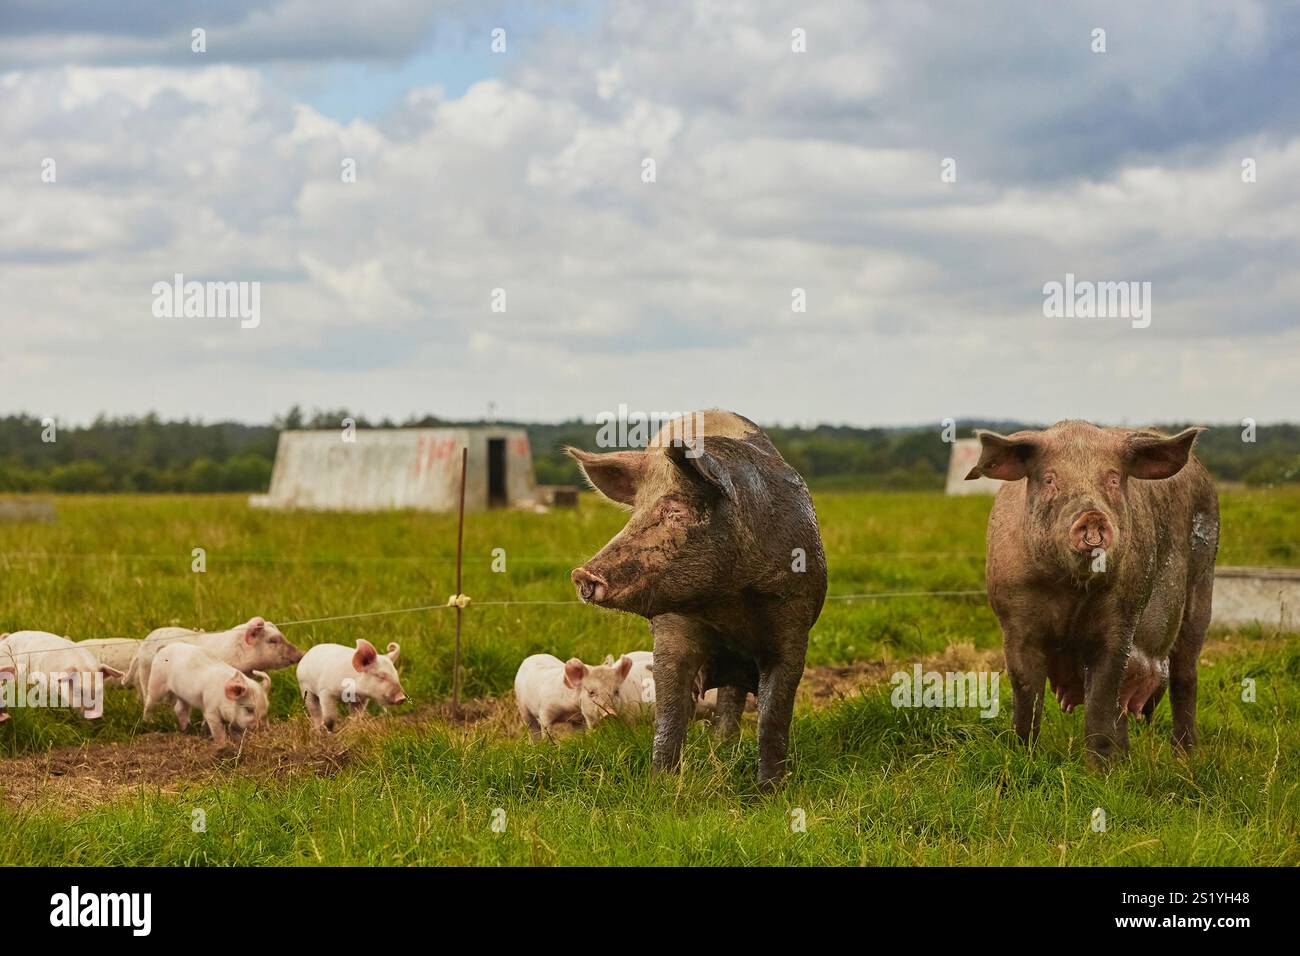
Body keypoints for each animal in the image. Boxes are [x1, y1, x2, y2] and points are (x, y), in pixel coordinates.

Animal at [142, 642, 271, 747]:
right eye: (249, 709)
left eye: (264, 712)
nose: (260, 729)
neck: (222, 697)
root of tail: (164, 648)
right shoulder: (211, 710)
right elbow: (218, 732)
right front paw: (222, 746)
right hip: (156, 682)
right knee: (150, 702)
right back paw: (148, 722)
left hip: (182, 695)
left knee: (179, 709)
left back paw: (186, 730)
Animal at [568, 410, 827, 789]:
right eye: (636, 512)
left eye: (677, 510)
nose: (582, 574)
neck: (727, 602)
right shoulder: (673, 626)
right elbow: (670, 709)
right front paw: (660, 785)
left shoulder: (793, 618)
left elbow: (774, 716)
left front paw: (769, 792)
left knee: (733, 696)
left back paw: (725, 747)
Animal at [966, 421, 1218, 766]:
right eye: (1049, 479)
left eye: (1112, 478)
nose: (1093, 517)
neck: (1069, 588)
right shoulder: (1014, 622)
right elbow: (1026, 693)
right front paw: (1022, 757)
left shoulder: (1122, 618)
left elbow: (1100, 699)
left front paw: (1098, 771)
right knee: (1125, 705)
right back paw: (1127, 759)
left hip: (1202, 585)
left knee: (1184, 676)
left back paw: (1185, 756)